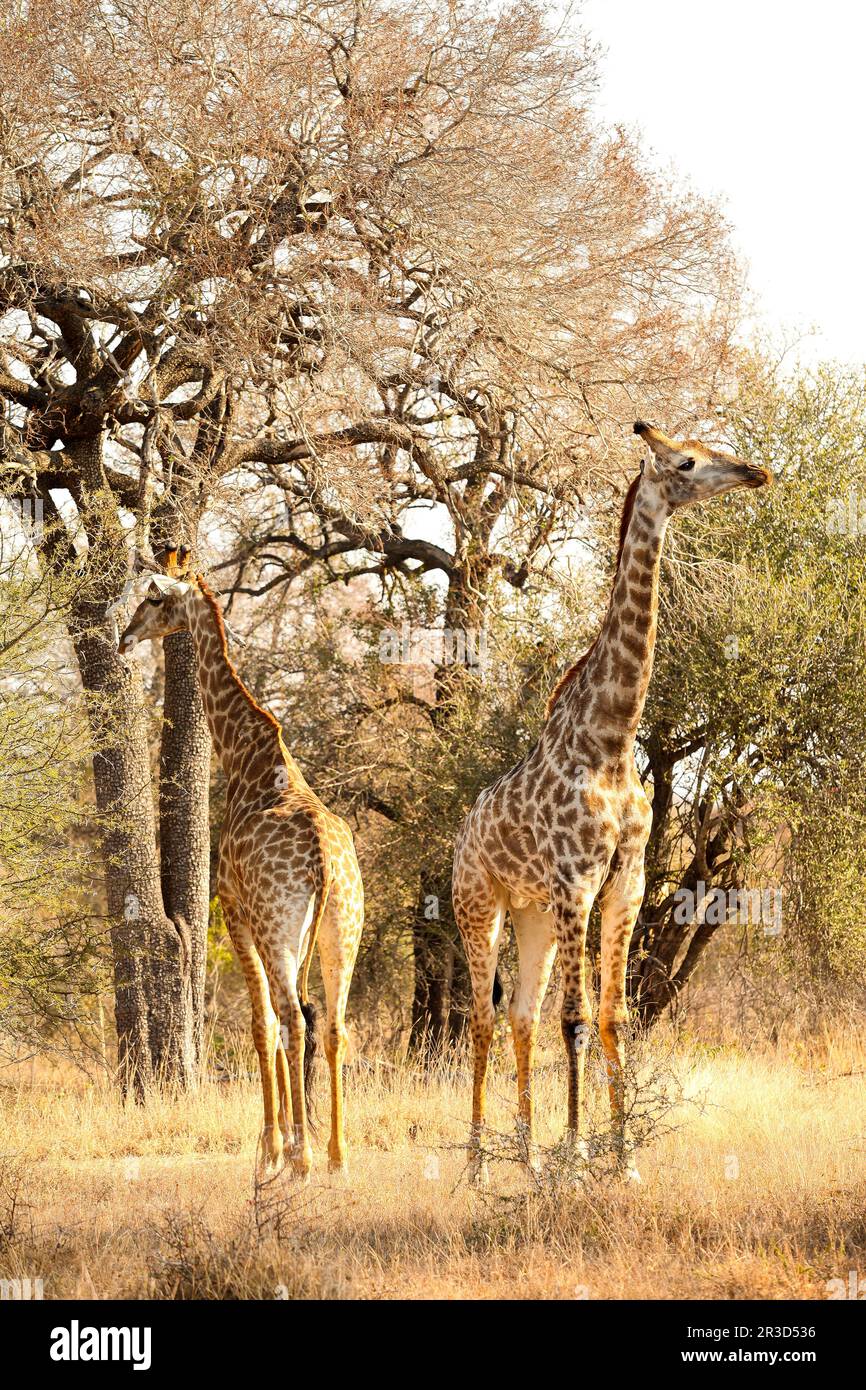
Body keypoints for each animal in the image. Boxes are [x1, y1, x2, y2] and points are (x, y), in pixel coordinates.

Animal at [118, 549, 364, 1179]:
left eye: (153, 596)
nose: (125, 635)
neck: (242, 755)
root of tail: (325, 862)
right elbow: (278, 1025)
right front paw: (284, 1143)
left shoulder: (234, 911)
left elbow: (261, 1025)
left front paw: (270, 1147)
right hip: (341, 930)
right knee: (332, 1025)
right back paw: (336, 1154)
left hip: (280, 927)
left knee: (294, 1018)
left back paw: (302, 1158)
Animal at [452, 421, 771, 1179]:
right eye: (686, 462)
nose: (756, 472)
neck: (613, 735)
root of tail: (464, 833)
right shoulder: (577, 880)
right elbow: (575, 1018)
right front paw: (577, 1158)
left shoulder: (626, 878)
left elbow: (610, 1016)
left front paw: (621, 1161)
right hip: (480, 906)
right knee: (482, 1017)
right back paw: (478, 1167)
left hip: (533, 914)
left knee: (521, 1016)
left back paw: (526, 1158)